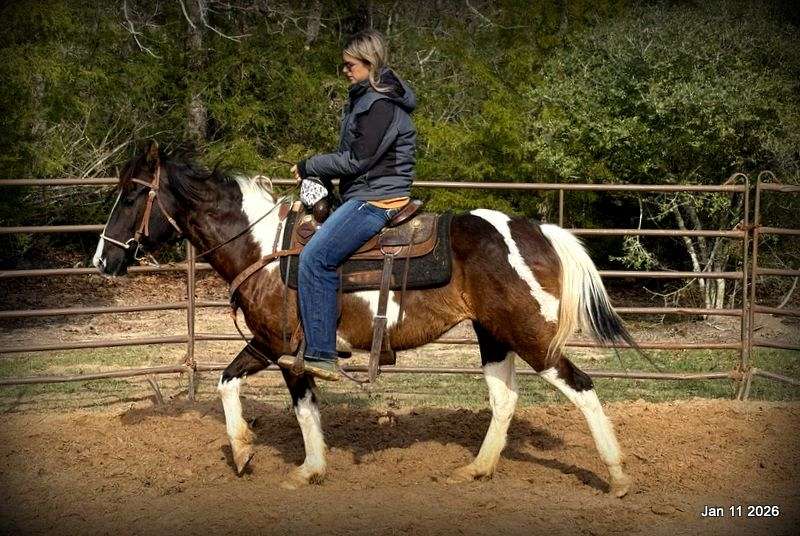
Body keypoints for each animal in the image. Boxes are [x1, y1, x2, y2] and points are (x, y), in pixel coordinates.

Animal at [93, 141, 635, 496]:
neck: (264, 249)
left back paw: (617, 476)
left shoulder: (280, 346)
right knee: (504, 399)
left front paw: (260, 456)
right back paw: (476, 470)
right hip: (493, 335)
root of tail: (537, 231)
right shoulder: (282, 350)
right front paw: (295, 464)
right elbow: (269, 396)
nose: (102, 259)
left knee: (583, 387)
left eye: (130, 197)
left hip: (530, 336)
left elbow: (268, 396)